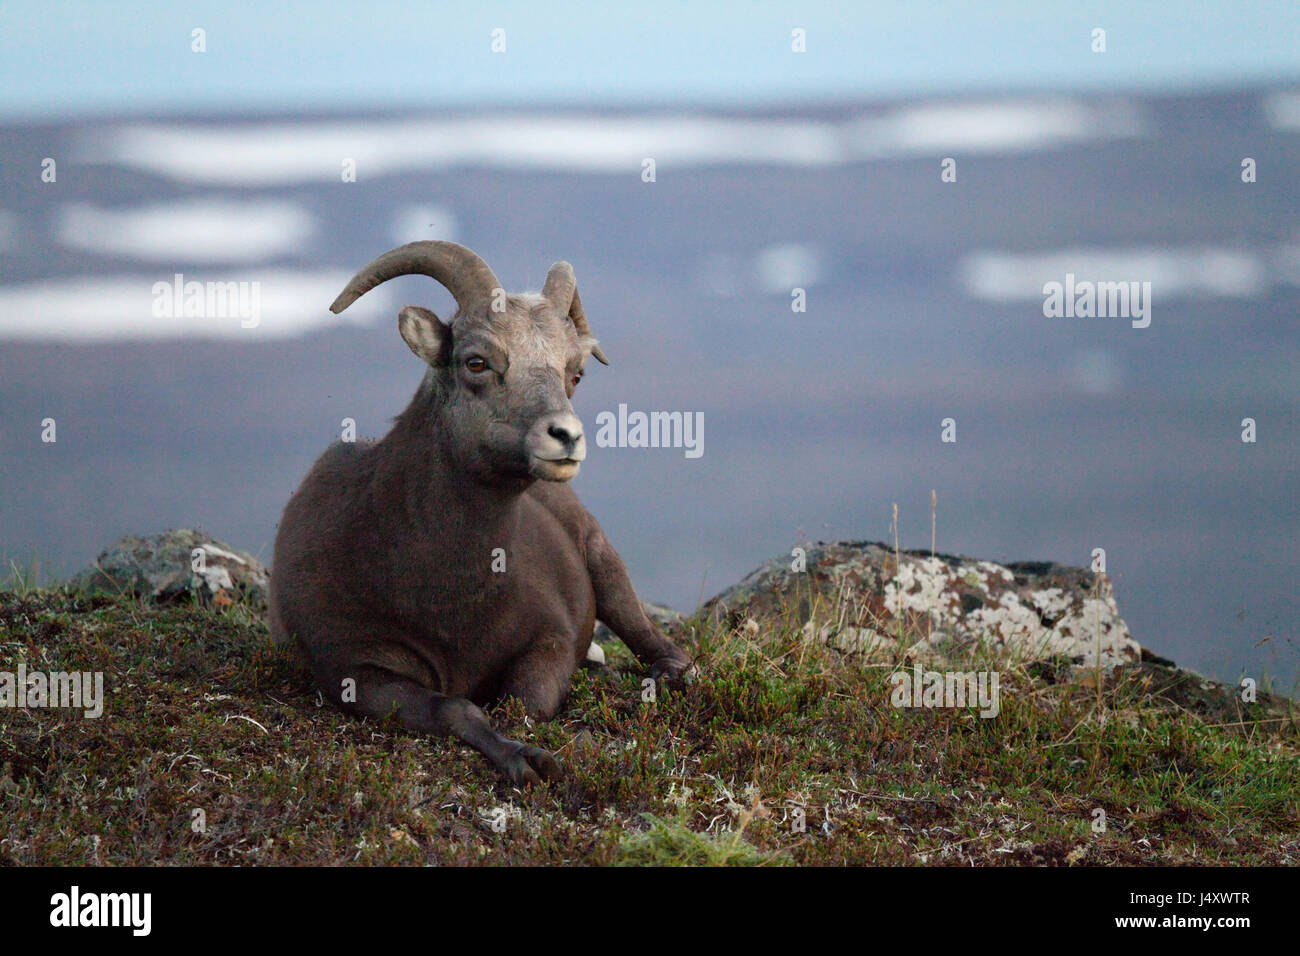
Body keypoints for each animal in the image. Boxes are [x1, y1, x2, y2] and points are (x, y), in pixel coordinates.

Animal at [269, 241, 693, 785]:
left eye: (575, 373)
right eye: (476, 361)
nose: (565, 437)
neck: (449, 603)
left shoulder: (549, 640)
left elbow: (524, 703)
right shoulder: (357, 669)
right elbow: (456, 708)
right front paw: (526, 762)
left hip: (604, 563)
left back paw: (667, 676)